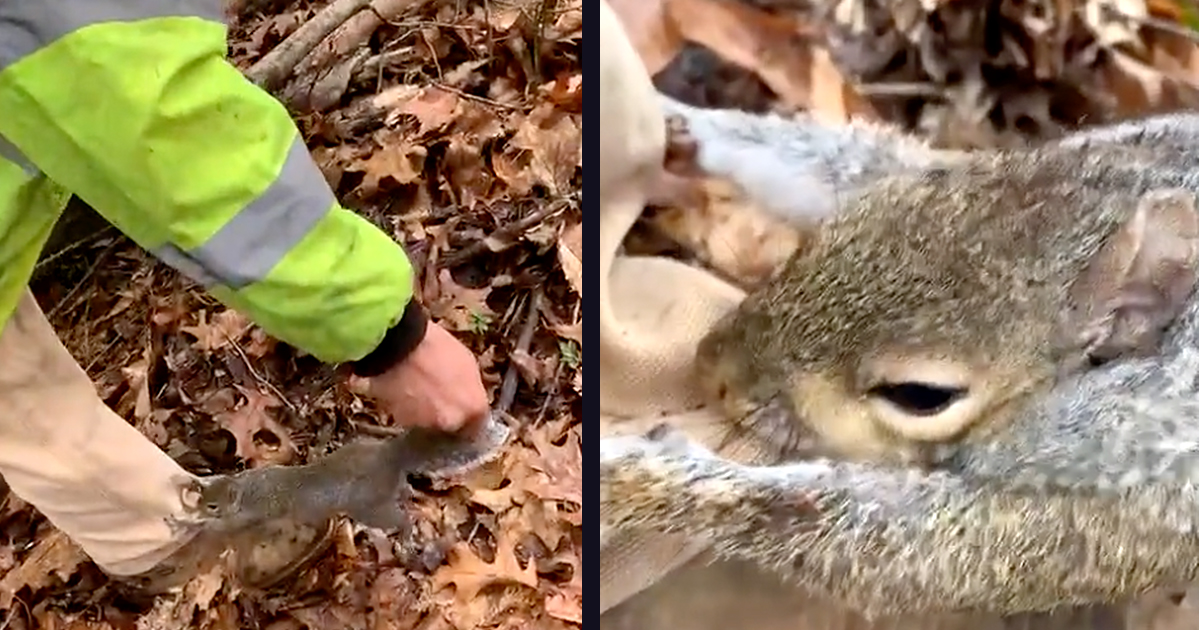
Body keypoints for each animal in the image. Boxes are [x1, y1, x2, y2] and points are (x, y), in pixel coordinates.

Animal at [185, 417, 509, 534]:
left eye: (212, 505)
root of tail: (389, 459)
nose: (198, 510)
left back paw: (406, 529)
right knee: (404, 491)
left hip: (370, 507)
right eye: (203, 495)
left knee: (399, 518)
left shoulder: (262, 511)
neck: (247, 489)